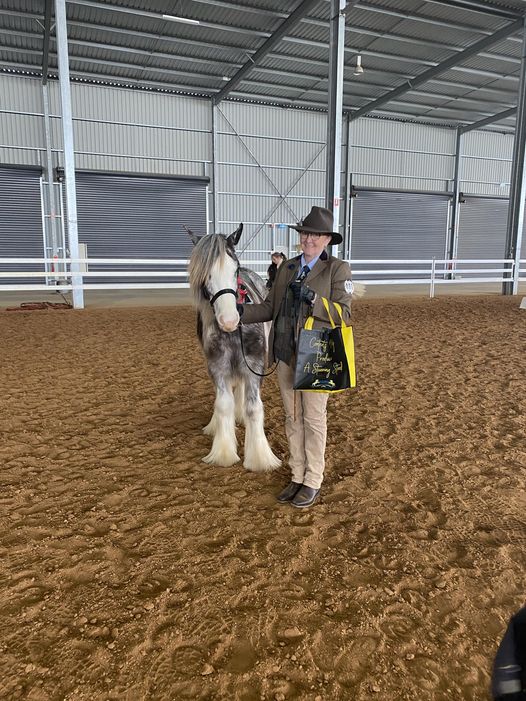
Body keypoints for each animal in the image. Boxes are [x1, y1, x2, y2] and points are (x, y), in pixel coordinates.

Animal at [187, 224, 281, 473]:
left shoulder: (255, 365)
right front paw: (223, 451)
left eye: (234, 268)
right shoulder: (217, 366)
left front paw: (260, 457)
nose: (229, 320)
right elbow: (223, 404)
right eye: (205, 273)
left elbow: (254, 407)